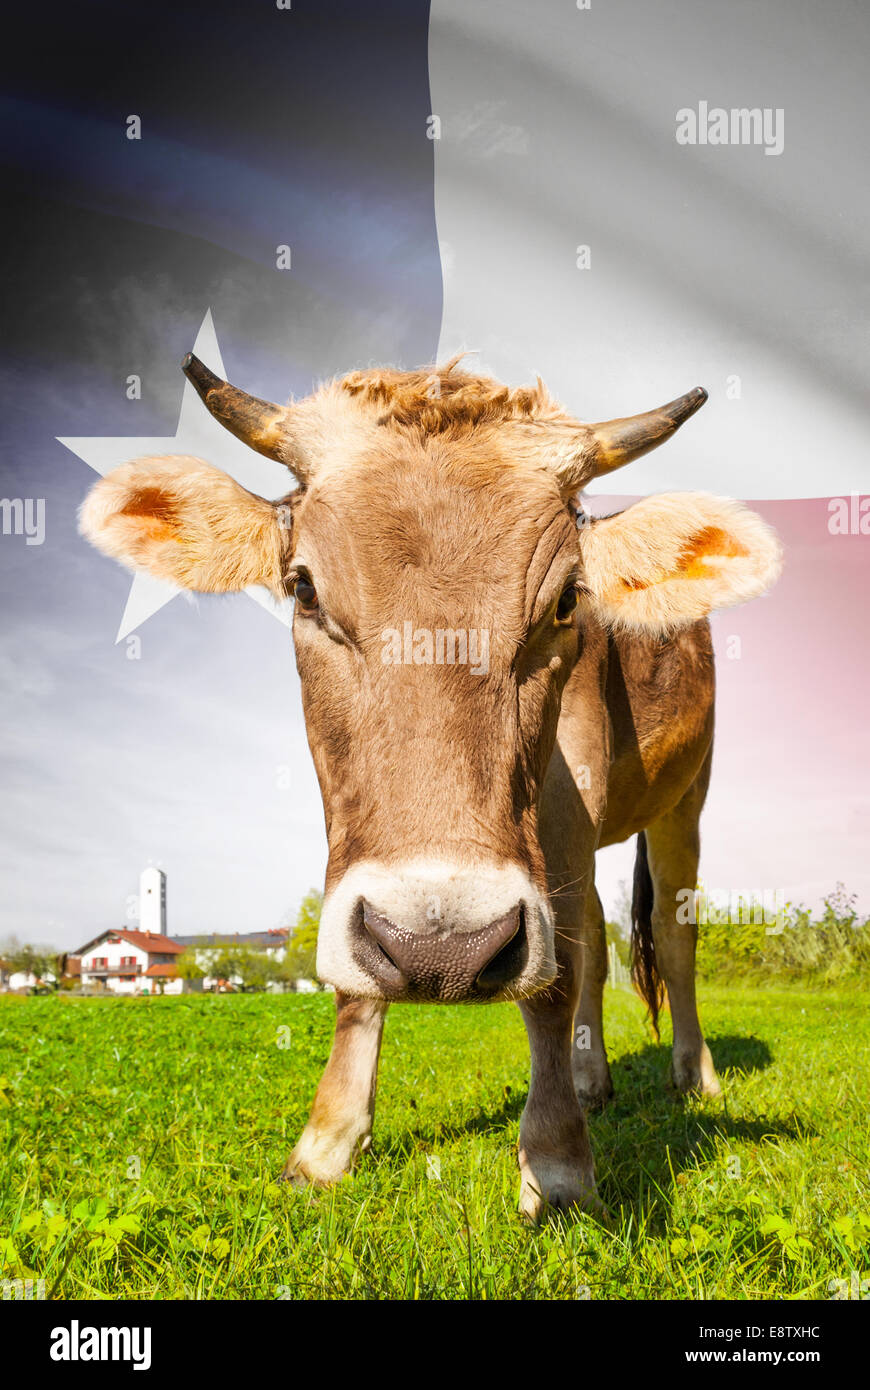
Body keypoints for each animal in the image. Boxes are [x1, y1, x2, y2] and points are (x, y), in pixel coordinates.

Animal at [80, 353, 782, 1221]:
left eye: (566, 600)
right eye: (303, 588)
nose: (440, 949)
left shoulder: (571, 797)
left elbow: (552, 979)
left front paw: (557, 1162)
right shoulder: (357, 826)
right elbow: (363, 975)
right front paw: (326, 1142)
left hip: (686, 799)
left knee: (671, 939)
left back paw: (694, 1074)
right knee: (593, 939)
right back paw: (592, 1080)